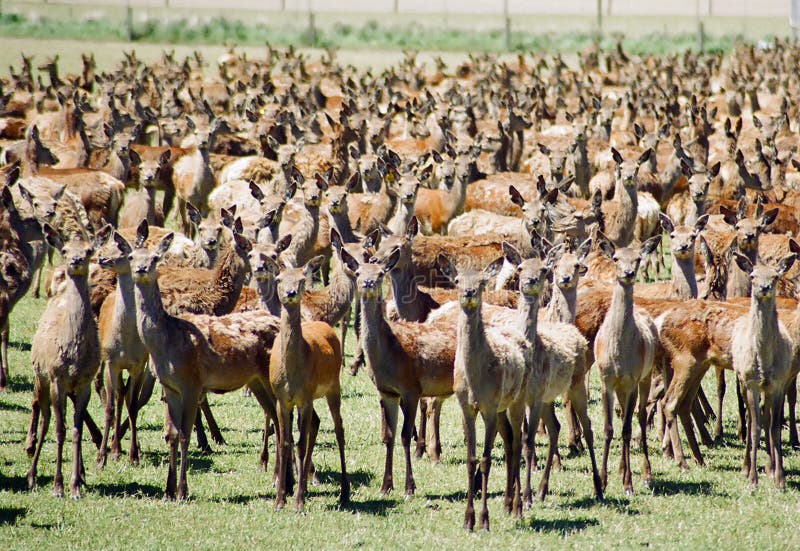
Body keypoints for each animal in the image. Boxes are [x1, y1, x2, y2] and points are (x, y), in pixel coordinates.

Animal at [128, 222, 281, 500]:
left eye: (154, 258)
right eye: (132, 257)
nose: (141, 270)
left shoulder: (190, 383)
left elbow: (182, 432)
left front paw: (180, 488)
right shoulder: (174, 385)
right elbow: (174, 431)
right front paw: (170, 488)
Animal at [269, 257, 348, 511]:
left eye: (303, 279)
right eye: (278, 279)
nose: (291, 293)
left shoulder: (304, 398)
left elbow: (301, 444)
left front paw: (299, 503)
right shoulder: (282, 400)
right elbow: (285, 442)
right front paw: (280, 500)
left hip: (333, 386)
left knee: (338, 429)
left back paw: (344, 492)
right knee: (316, 423)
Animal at [594, 232, 661, 494]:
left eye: (638, 258)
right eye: (615, 258)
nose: (628, 273)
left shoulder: (632, 379)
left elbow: (626, 429)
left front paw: (628, 484)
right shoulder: (606, 380)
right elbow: (609, 428)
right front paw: (602, 482)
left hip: (645, 375)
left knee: (639, 417)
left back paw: (646, 475)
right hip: (623, 387)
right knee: (625, 415)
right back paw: (621, 470)